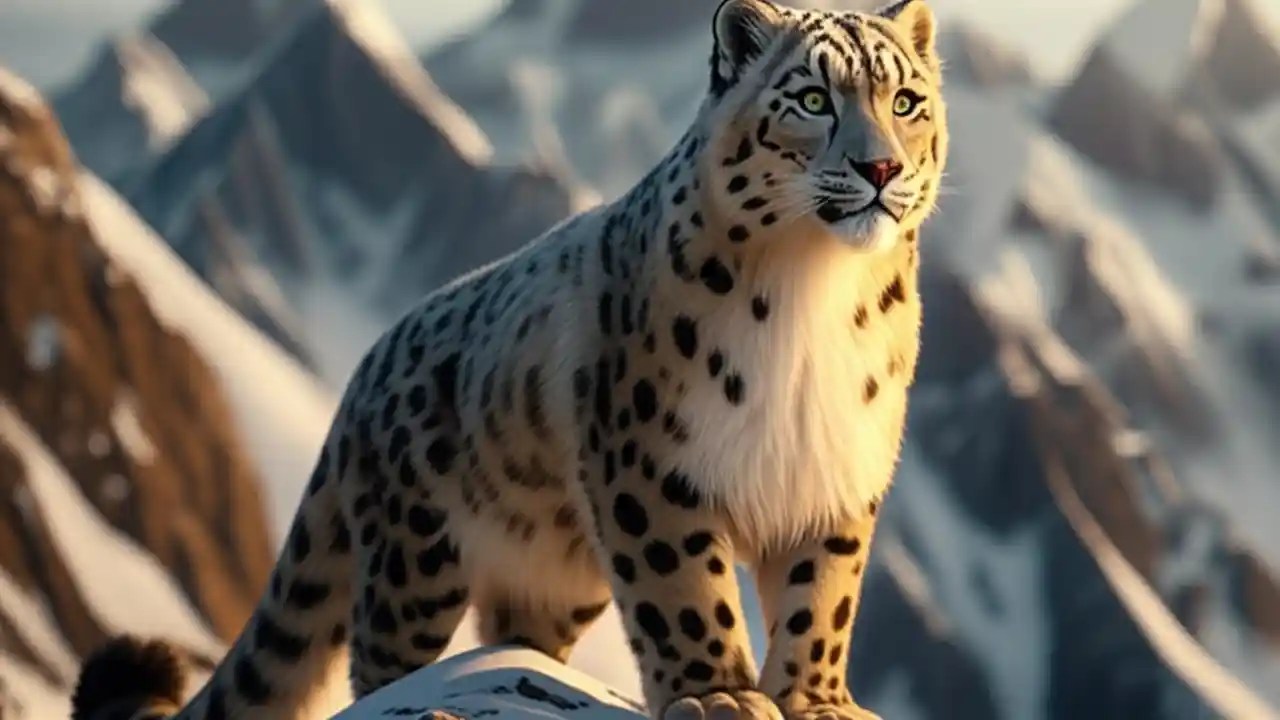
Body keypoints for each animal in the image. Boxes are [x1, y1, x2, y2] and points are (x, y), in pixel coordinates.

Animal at [72, 1, 948, 718]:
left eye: (904, 102)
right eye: (812, 99)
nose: (879, 168)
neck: (815, 299)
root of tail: (363, 373)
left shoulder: (835, 469)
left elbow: (821, 598)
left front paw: (817, 701)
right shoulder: (651, 462)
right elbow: (685, 588)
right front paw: (719, 695)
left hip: (551, 574)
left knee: (515, 630)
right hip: (413, 562)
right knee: (380, 663)